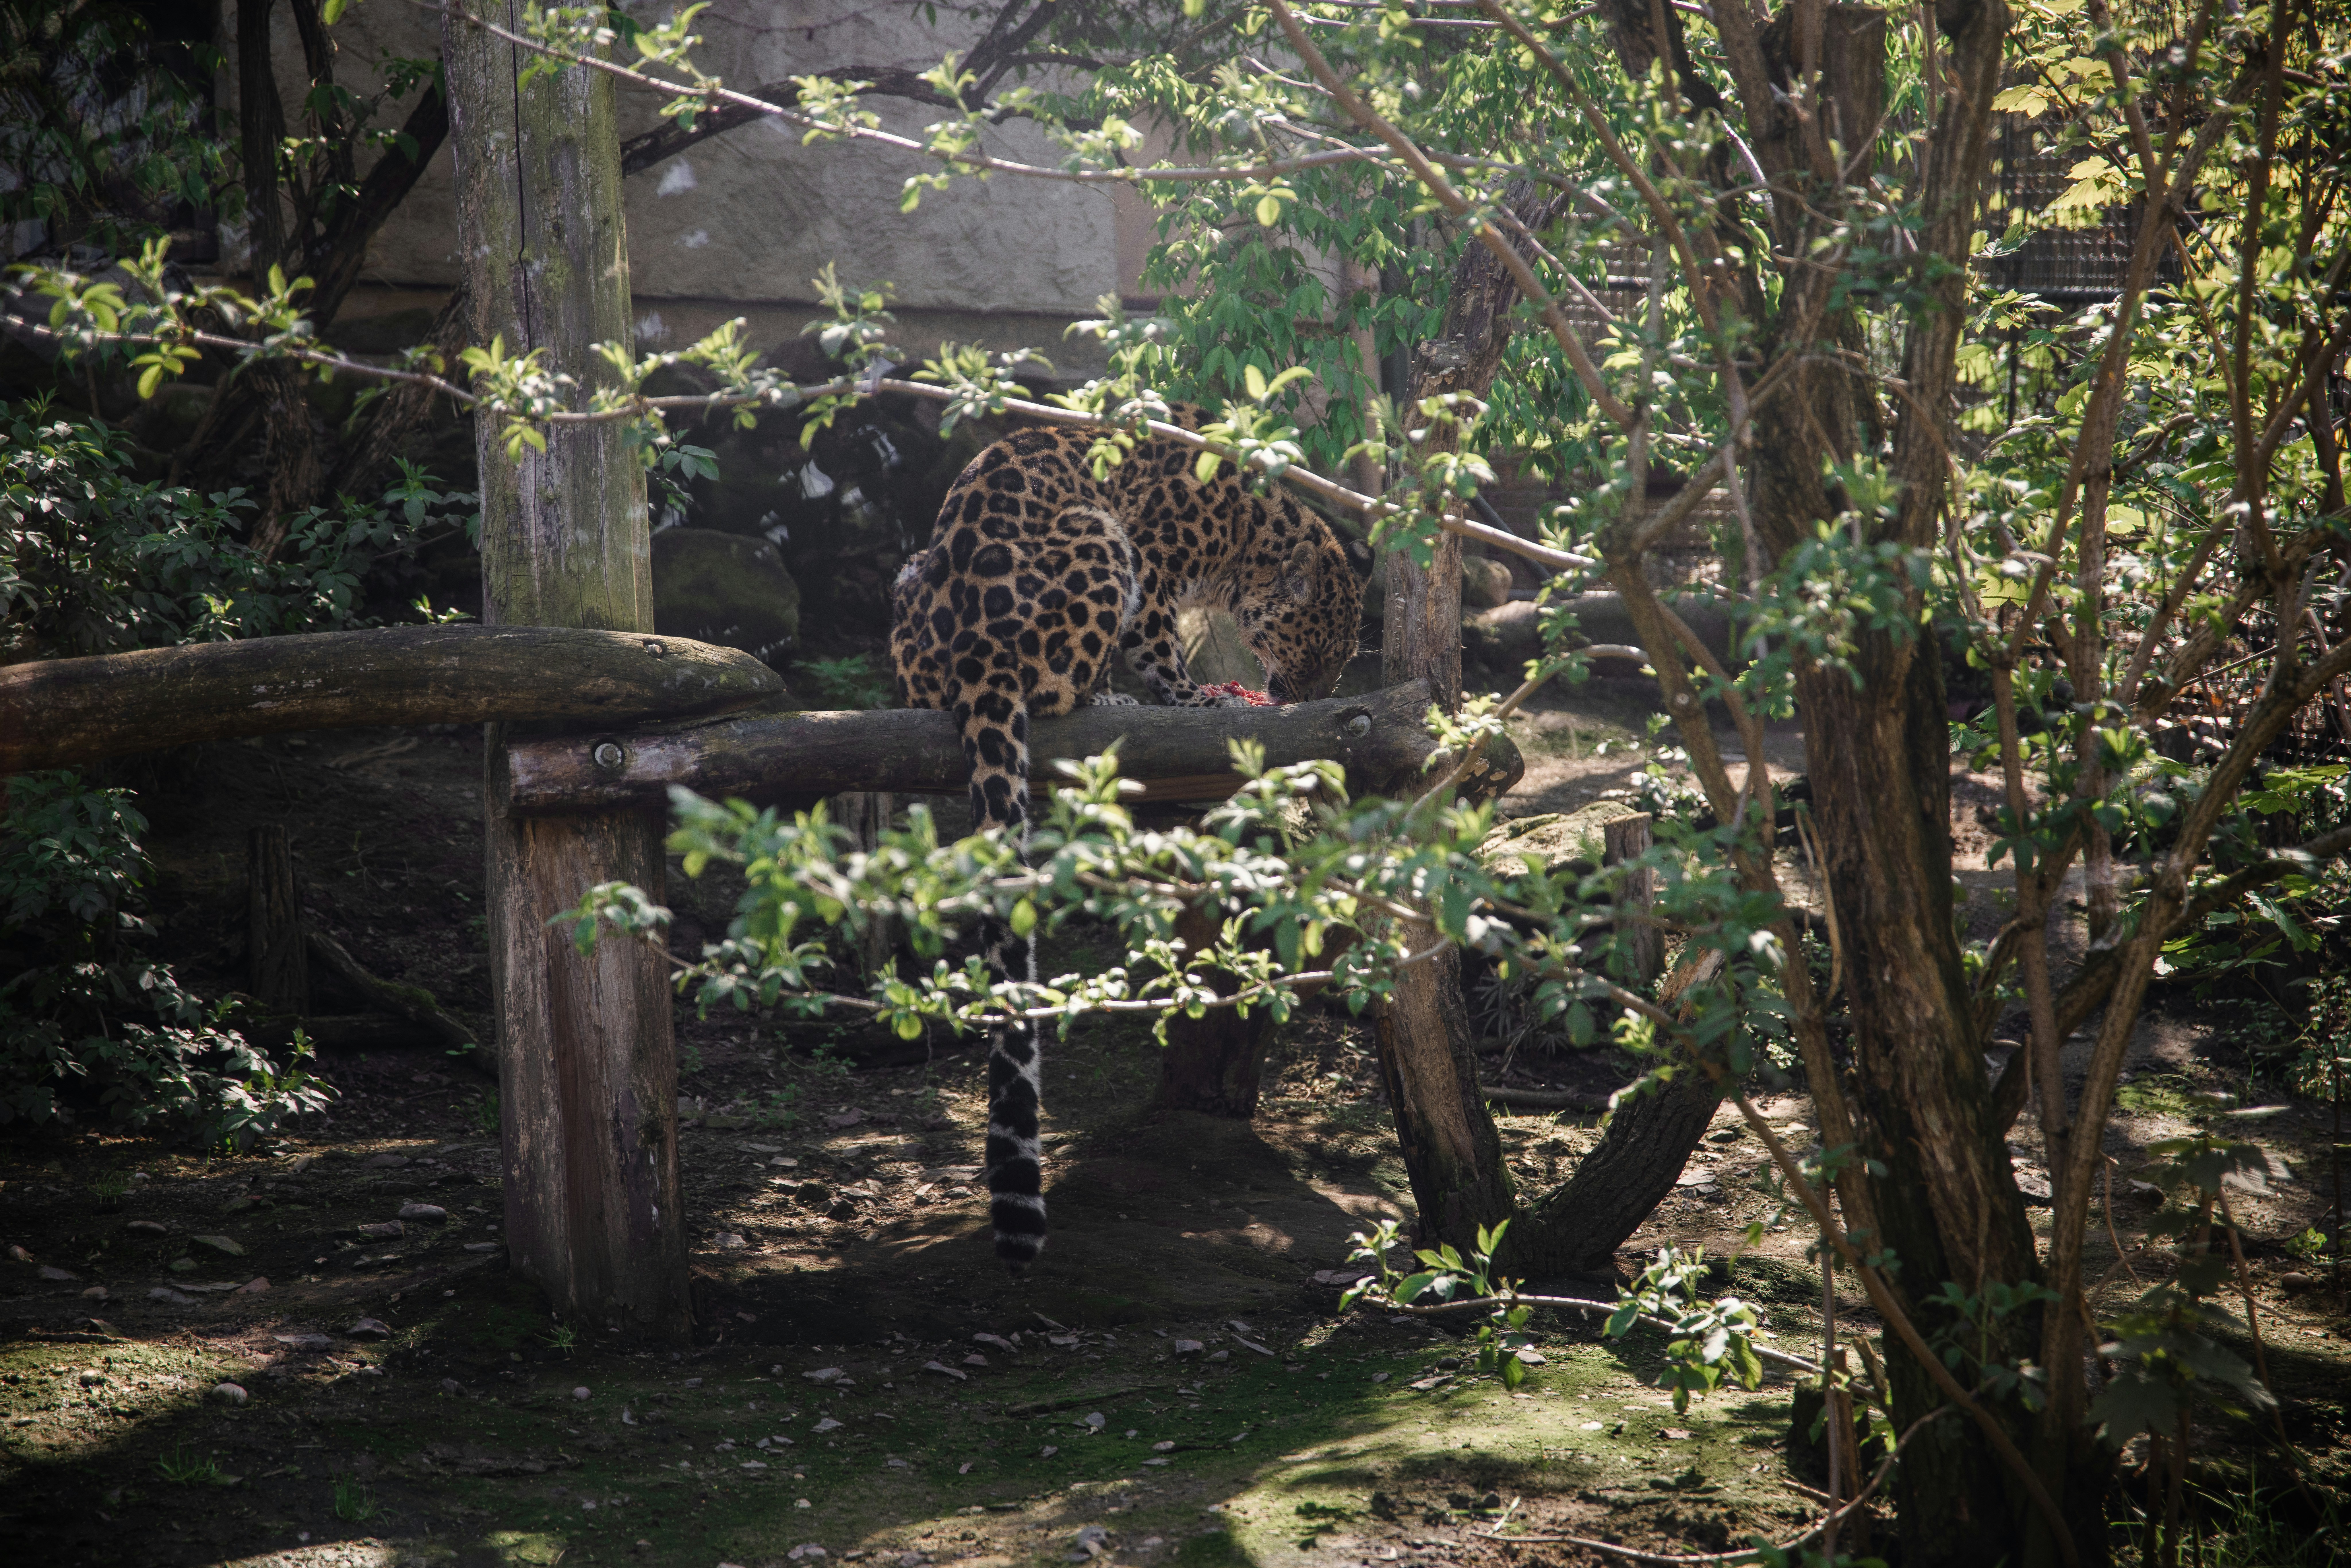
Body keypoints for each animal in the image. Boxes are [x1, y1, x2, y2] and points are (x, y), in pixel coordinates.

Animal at [888, 419, 1375, 1270]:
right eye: (1318, 649)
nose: (1306, 696)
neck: (1249, 534)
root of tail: (974, 650)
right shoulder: (1157, 557)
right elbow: (1158, 650)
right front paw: (1196, 699)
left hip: (910, 580)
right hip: (1096, 533)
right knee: (1057, 689)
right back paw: (1108, 697)